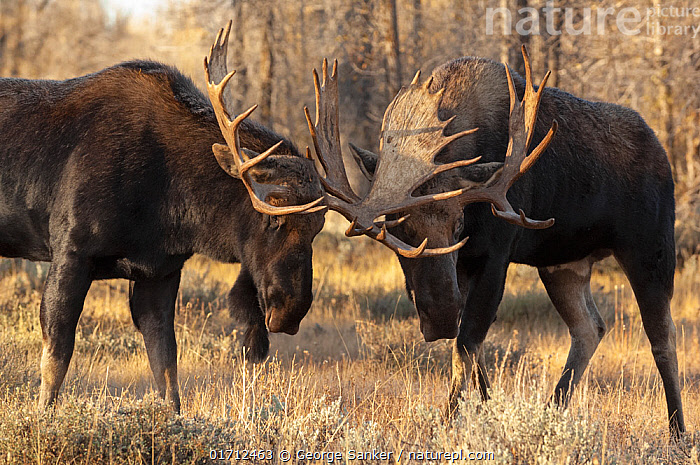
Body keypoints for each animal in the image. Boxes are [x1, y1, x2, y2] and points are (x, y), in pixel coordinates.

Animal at [304, 48, 685, 438]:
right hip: (564, 262)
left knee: (663, 336)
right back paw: (553, 412)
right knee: (589, 327)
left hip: (650, 250)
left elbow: (466, 344)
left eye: (459, 224)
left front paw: (448, 423)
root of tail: (662, 154)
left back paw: (677, 431)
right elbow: (475, 349)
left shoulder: (495, 257)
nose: (440, 317)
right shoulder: (466, 267)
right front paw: (490, 413)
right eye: (398, 224)